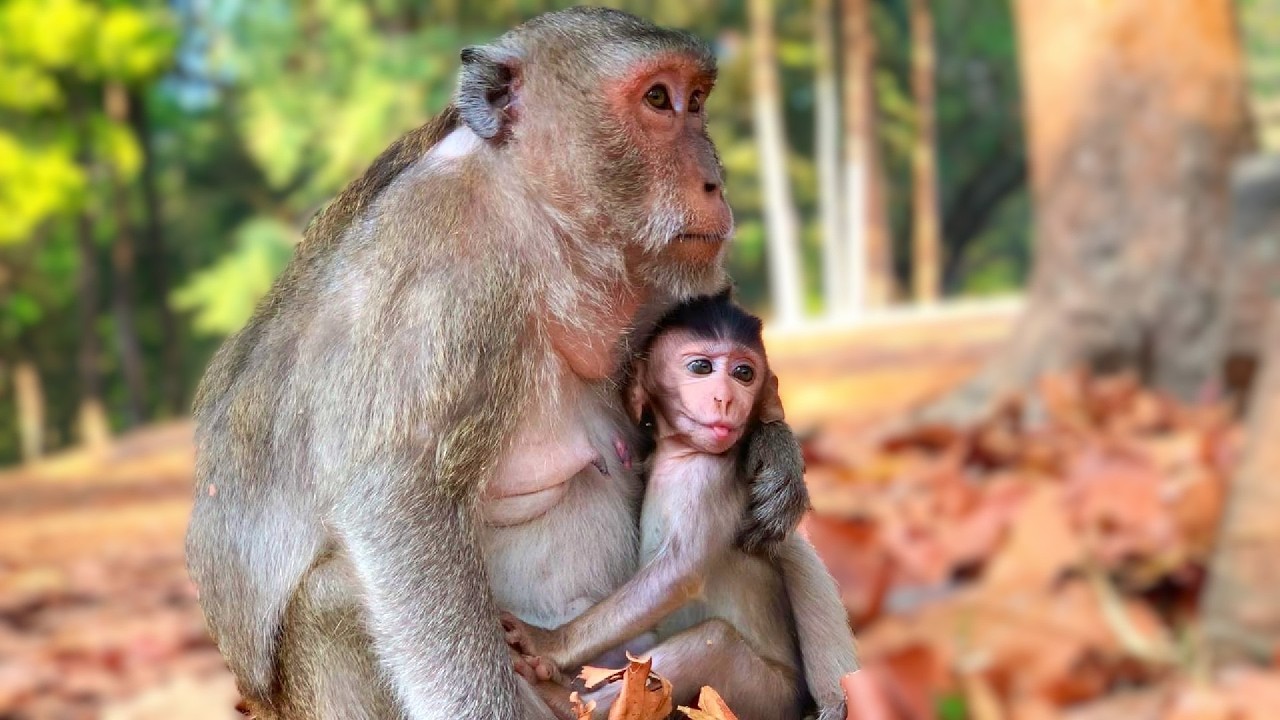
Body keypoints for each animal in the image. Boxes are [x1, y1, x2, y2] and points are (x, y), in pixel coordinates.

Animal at [184, 8, 810, 720]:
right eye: (658, 99)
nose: (715, 181)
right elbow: (400, 496)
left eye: (697, 99)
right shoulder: (437, 272)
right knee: (335, 594)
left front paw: (775, 457)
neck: (539, 224)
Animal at [503, 291, 858, 720]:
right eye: (701, 367)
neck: (682, 453)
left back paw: (570, 704)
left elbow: (677, 573)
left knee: (717, 643)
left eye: (744, 373)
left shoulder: (707, 478)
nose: (726, 399)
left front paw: (549, 644)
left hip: (769, 697)